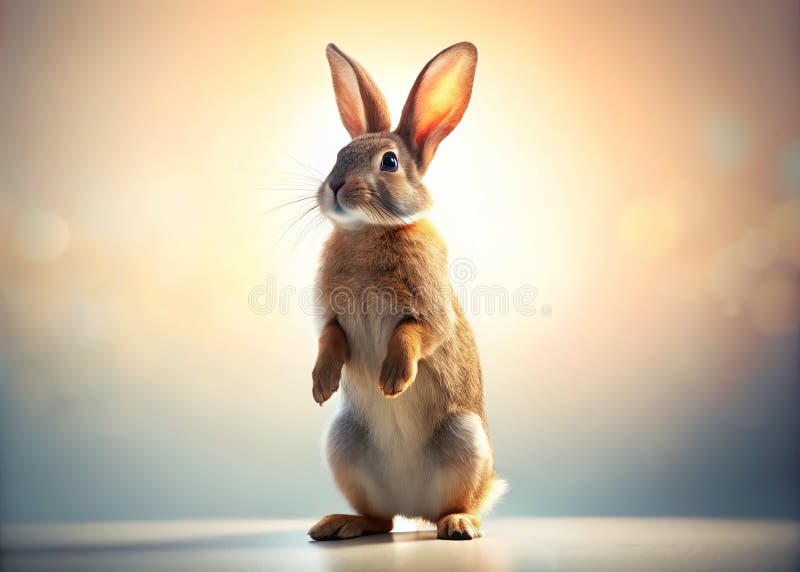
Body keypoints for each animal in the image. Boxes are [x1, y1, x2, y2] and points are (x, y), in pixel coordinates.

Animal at [308, 41, 506, 541]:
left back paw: (459, 525)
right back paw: (339, 524)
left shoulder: (430, 311)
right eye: (340, 153)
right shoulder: (331, 318)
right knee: (380, 519)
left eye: (390, 162)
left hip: (464, 439)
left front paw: (393, 380)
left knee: (453, 506)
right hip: (345, 445)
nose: (334, 186)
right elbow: (330, 338)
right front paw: (322, 384)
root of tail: (413, 508)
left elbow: (414, 334)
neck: (370, 230)